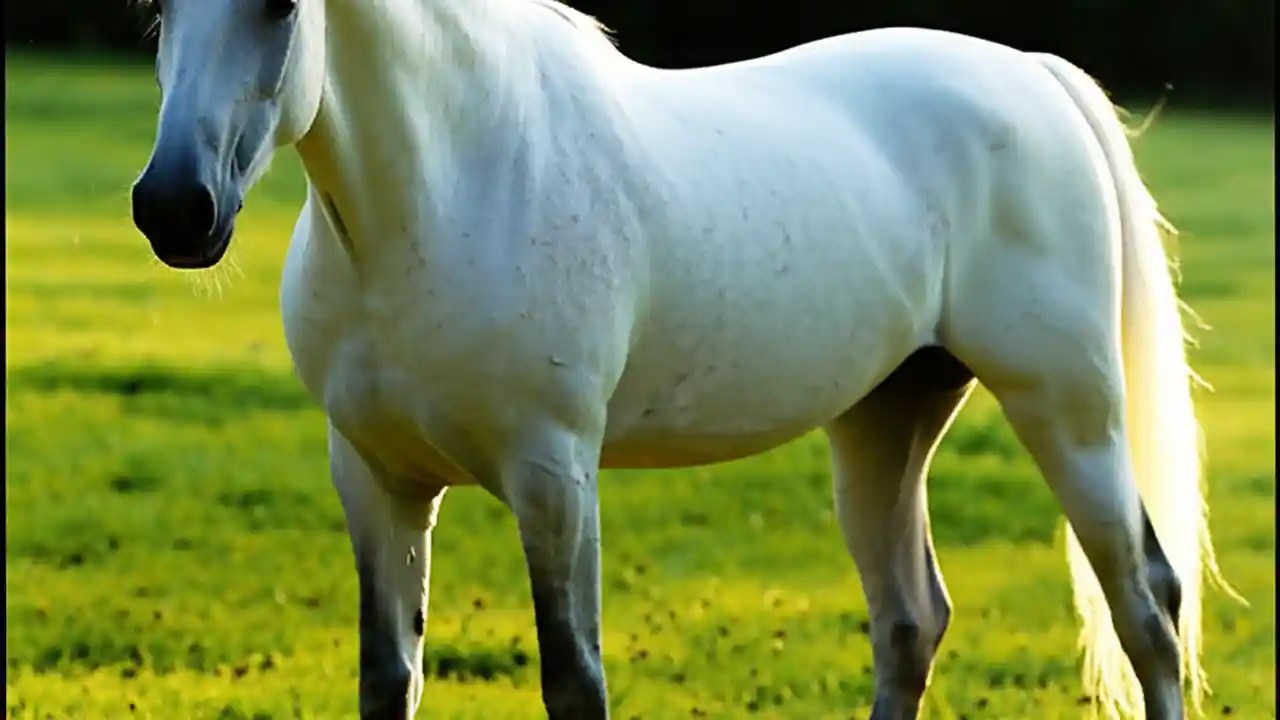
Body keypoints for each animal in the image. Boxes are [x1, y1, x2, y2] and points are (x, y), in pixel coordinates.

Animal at [129, 1, 1232, 718]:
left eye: (280, 4)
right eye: (162, 2)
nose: (175, 207)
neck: (450, 187)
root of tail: (1032, 73)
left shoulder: (553, 473)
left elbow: (573, 679)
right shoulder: (375, 477)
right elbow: (387, 678)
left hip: (1068, 408)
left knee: (1146, 606)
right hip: (885, 418)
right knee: (909, 622)